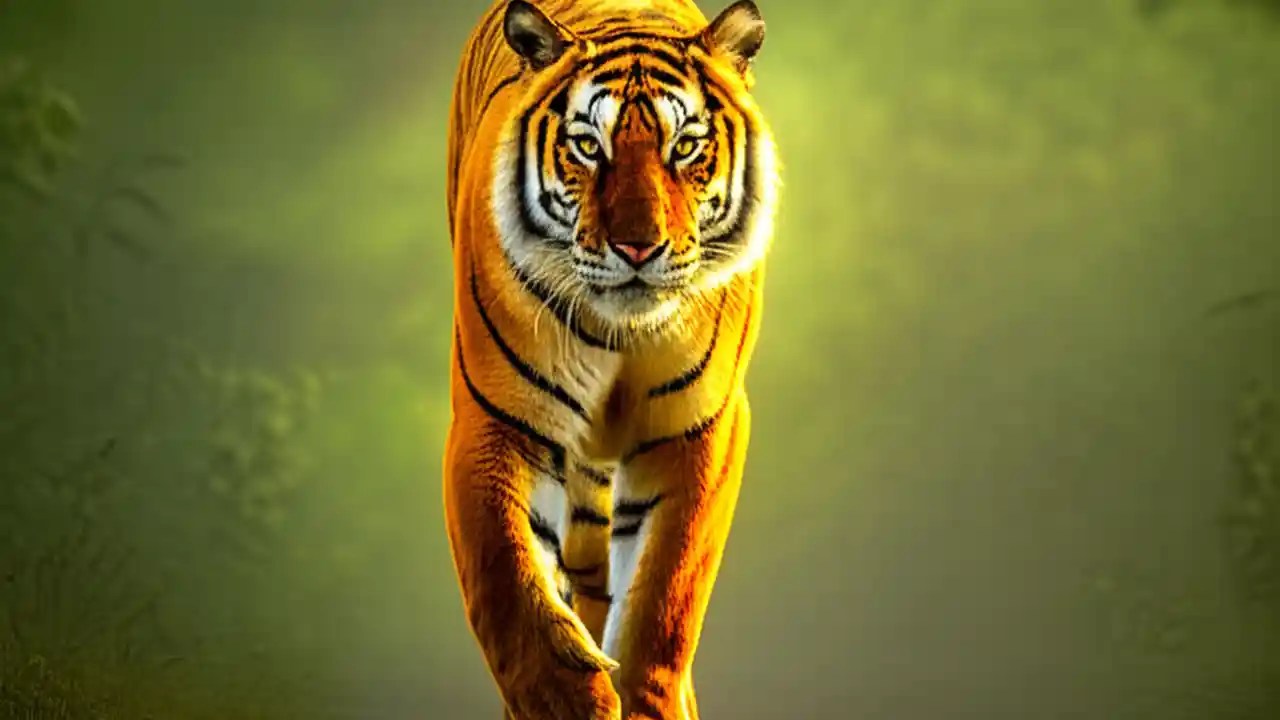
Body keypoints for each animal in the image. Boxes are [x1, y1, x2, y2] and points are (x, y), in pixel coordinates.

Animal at [442, 0, 779, 718]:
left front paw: (646, 699)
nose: (637, 247)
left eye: (685, 147)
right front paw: (564, 699)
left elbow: (663, 595)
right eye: (588, 147)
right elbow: (507, 579)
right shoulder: (493, 420)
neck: (620, 331)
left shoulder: (700, 429)